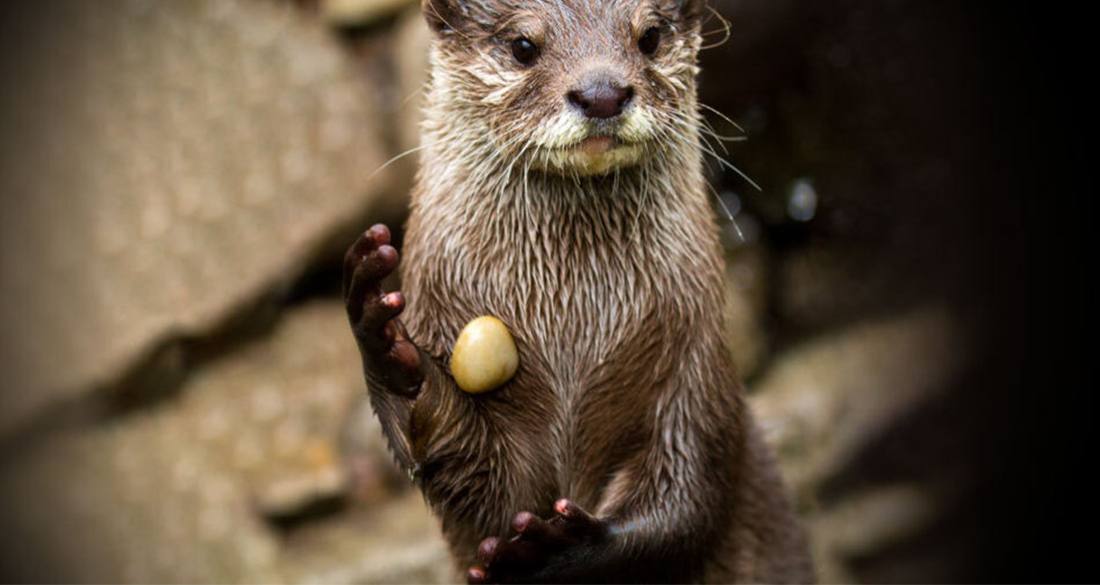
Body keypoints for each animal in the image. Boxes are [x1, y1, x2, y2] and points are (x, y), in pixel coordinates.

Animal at [343, 0, 813, 582]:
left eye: (650, 36)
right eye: (523, 46)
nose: (602, 92)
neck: (573, 332)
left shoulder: (695, 371)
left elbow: (687, 502)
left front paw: (559, 550)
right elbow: (482, 482)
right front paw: (384, 342)